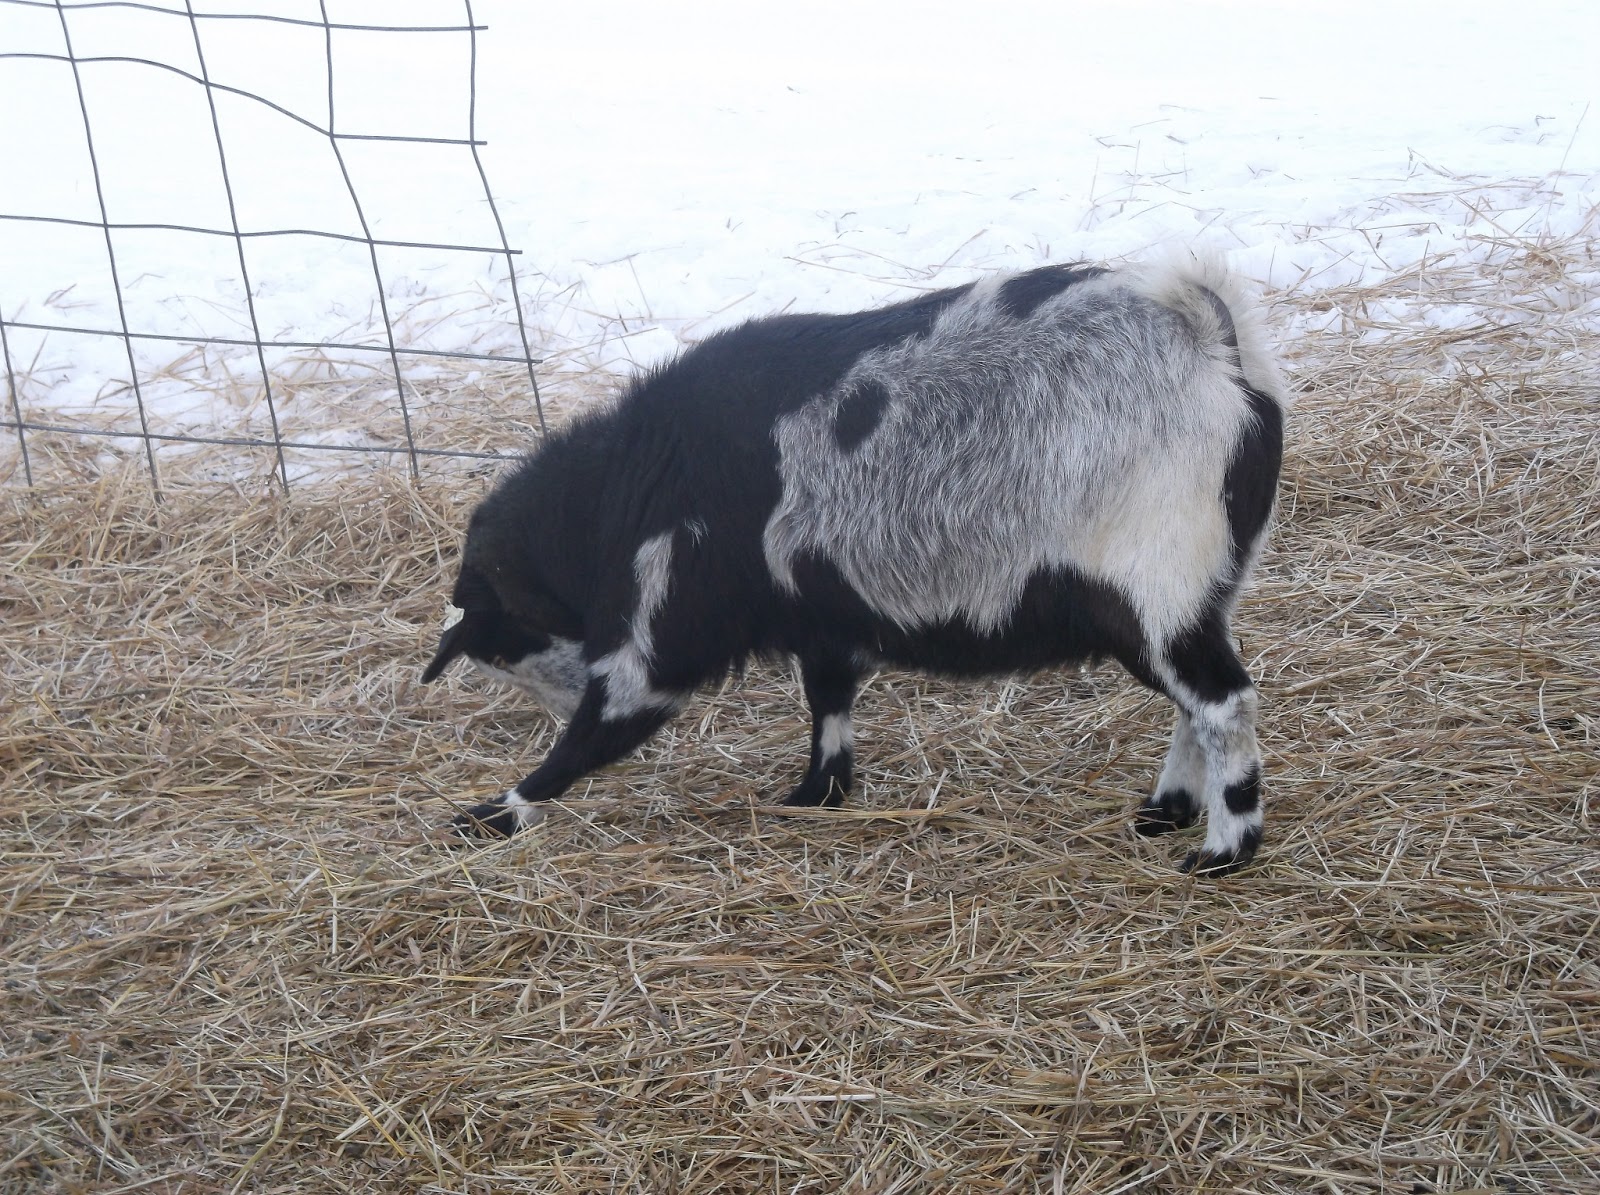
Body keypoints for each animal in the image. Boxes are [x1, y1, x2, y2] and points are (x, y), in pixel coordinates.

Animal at [423, 254, 1287, 875]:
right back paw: (1167, 809)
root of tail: (1216, 343)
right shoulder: (823, 615)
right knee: (1194, 704)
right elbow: (829, 701)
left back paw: (1222, 848)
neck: (628, 486)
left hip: (1154, 584)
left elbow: (594, 736)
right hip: (1201, 587)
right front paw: (818, 794)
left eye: (500, 640)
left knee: (1223, 702)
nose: (553, 699)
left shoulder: (661, 632)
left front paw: (493, 812)